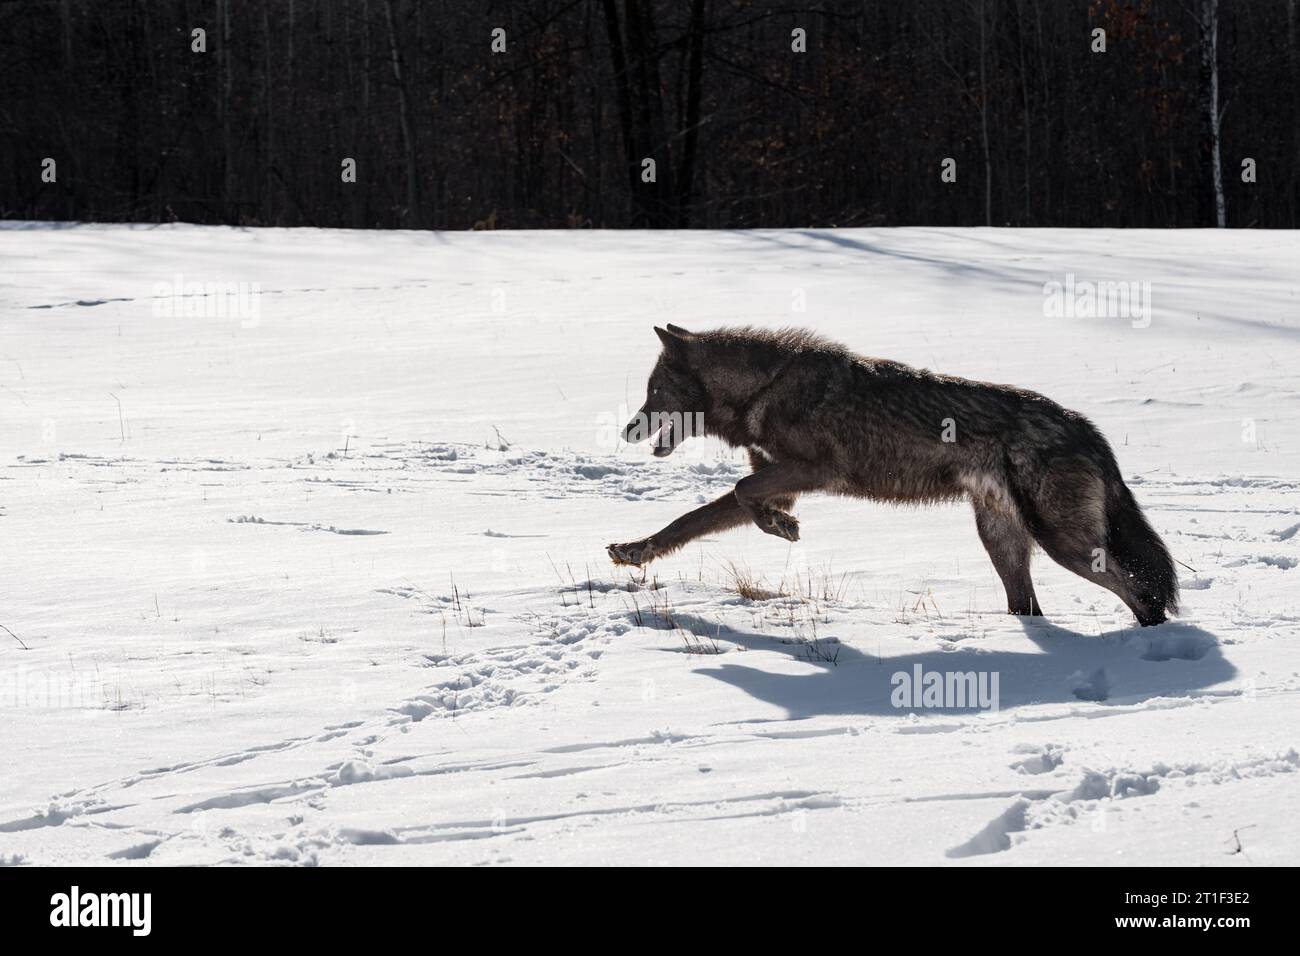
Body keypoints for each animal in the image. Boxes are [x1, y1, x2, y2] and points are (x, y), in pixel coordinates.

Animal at [608, 325, 1178, 627]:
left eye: (654, 393)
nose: (626, 430)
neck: (762, 388)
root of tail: (1086, 427)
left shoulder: (815, 471)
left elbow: (742, 490)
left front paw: (780, 528)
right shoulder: (784, 480)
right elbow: (691, 520)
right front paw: (633, 551)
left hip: (1065, 545)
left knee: (1140, 591)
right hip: (1003, 543)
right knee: (1031, 607)